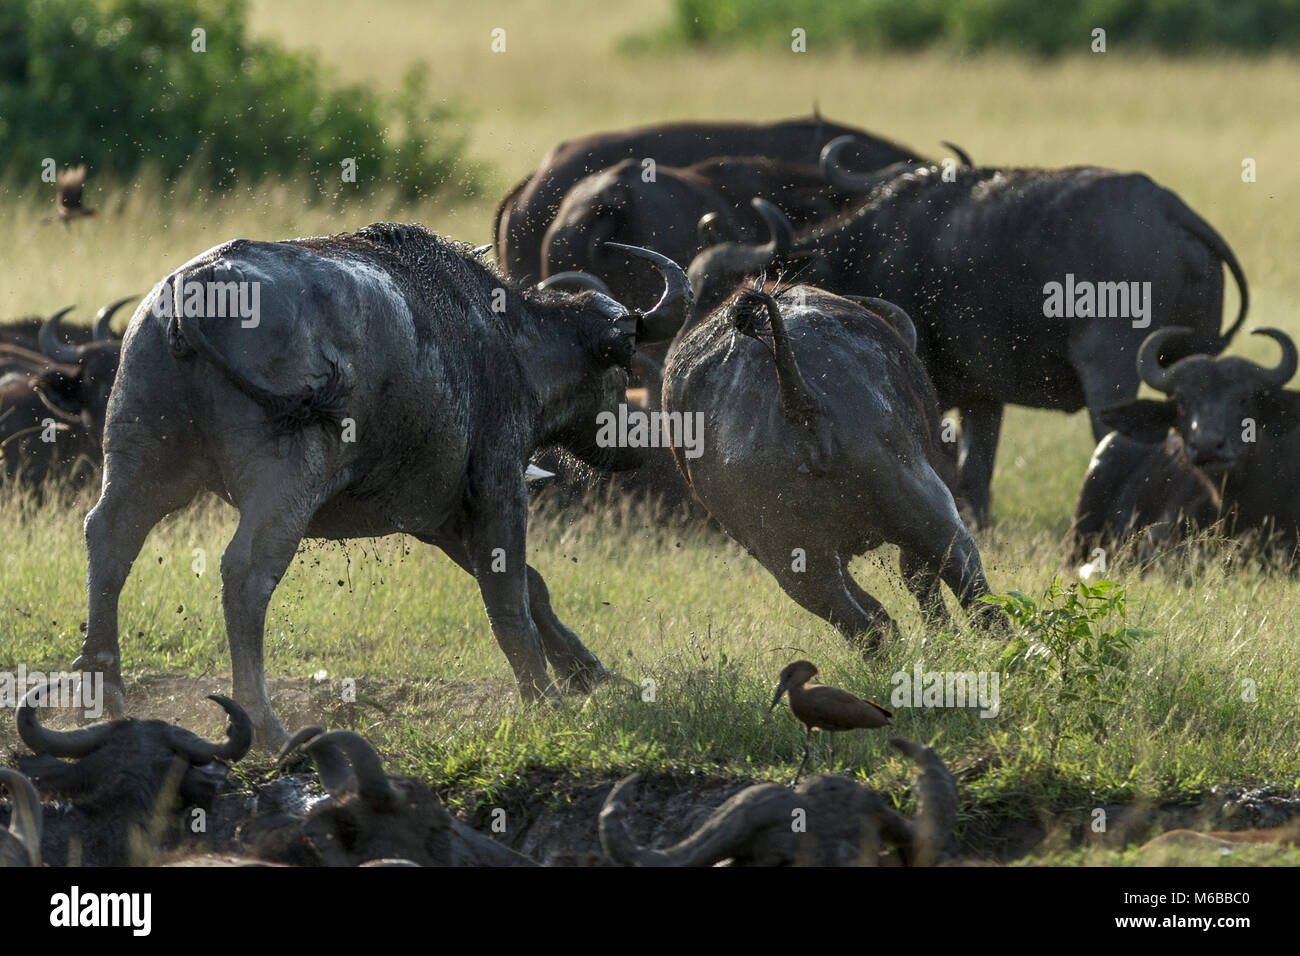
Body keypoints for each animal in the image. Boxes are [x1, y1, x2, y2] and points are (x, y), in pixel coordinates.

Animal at [78, 223, 691, 746]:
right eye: (624, 366)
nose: (638, 440)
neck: (503, 343)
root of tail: (199, 287)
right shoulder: (498, 488)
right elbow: (510, 599)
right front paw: (543, 699)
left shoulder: (438, 518)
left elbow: (533, 587)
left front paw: (590, 673)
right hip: (286, 484)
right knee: (245, 575)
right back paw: (268, 728)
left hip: (140, 460)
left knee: (109, 540)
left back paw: (106, 696)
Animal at [662, 284, 999, 648]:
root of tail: (799, 405)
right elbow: (916, 575)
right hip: (924, 497)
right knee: (969, 581)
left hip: (794, 559)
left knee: (862, 626)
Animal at [689, 138, 1250, 524]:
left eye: (723, 290)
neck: (873, 248)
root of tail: (1171, 209)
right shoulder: (985, 397)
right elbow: (977, 474)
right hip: (1192, 358)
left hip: (1111, 370)